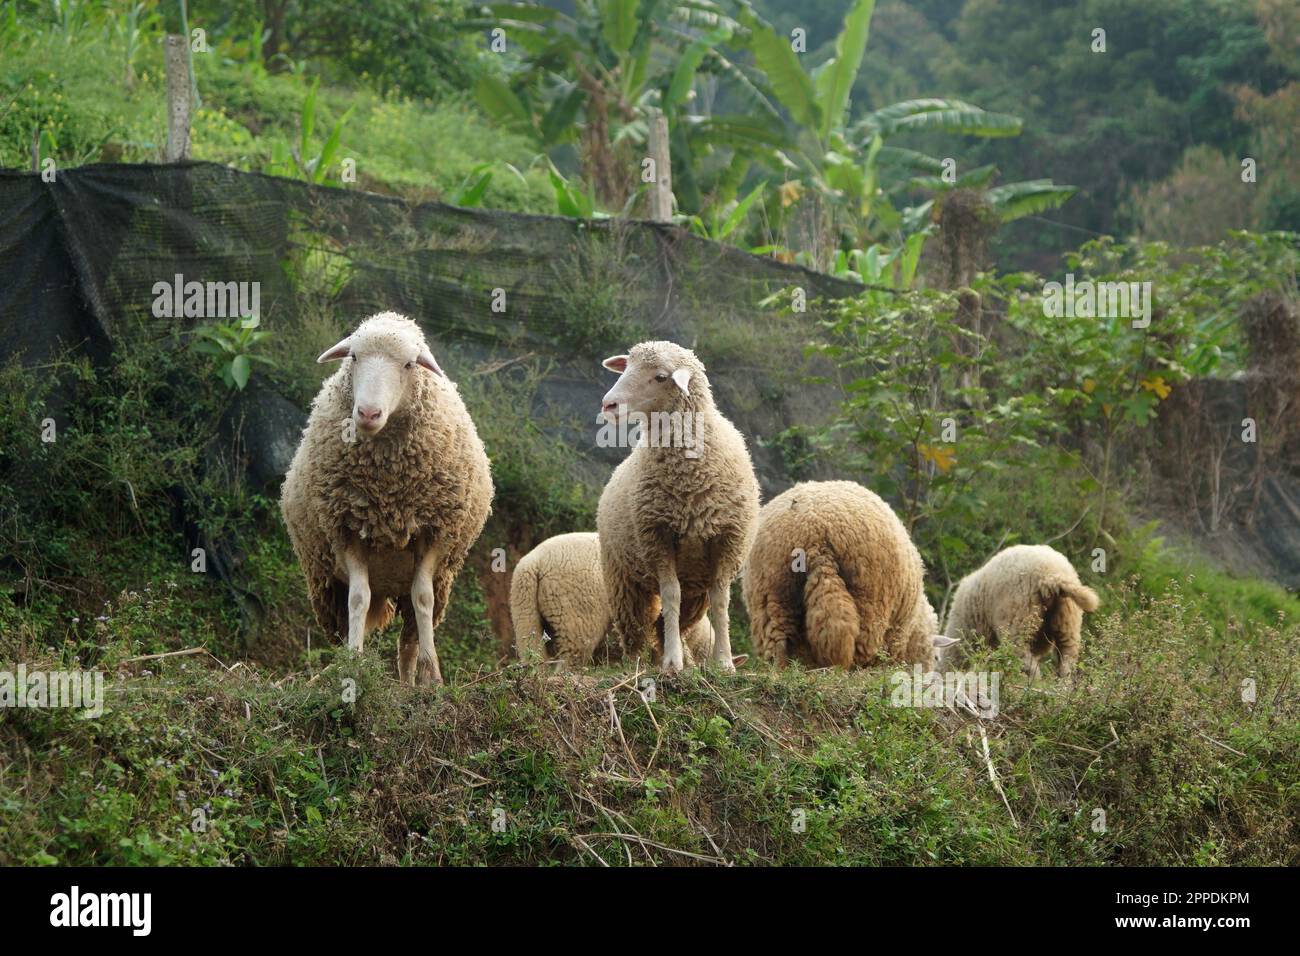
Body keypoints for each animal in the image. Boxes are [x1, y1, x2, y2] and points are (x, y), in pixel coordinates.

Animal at [280, 311, 493, 686]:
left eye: (409, 364)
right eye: (353, 357)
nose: (367, 413)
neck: (388, 489)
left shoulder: (433, 532)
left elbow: (423, 597)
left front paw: (432, 675)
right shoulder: (346, 531)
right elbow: (358, 599)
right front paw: (353, 664)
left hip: (433, 579)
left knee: (408, 635)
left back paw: (410, 682)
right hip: (325, 585)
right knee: (349, 619)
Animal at [595, 341, 759, 675]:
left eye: (660, 376)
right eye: (626, 367)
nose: (608, 405)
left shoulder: (728, 540)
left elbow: (720, 601)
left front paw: (724, 662)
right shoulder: (656, 537)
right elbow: (671, 594)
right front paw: (673, 662)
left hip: (695, 588)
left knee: (667, 623)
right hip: (622, 578)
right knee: (634, 627)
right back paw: (638, 665)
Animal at [742, 480, 952, 669]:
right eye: (935, 657)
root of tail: (815, 532)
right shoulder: (895, 635)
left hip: (772, 592)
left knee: (778, 645)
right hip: (870, 601)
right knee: (858, 651)